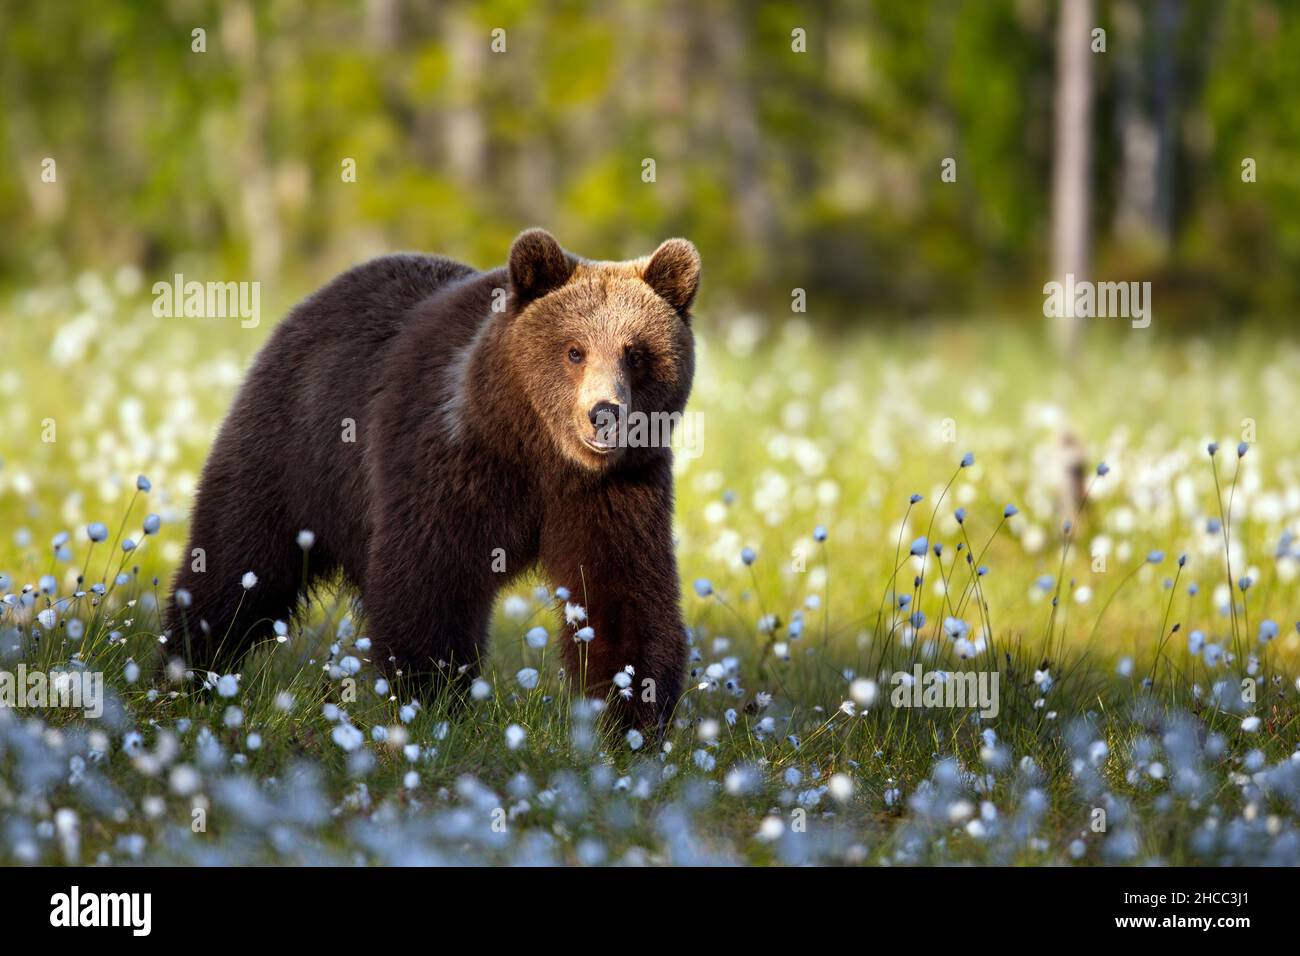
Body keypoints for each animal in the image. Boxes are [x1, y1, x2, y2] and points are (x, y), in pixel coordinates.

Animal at [164, 229, 700, 732]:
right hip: (293, 452)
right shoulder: (450, 463)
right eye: (574, 350)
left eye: (635, 353)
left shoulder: (616, 490)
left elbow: (624, 596)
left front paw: (633, 722)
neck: (540, 454)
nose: (605, 414)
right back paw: (186, 672)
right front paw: (434, 698)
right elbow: (429, 582)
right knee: (239, 561)